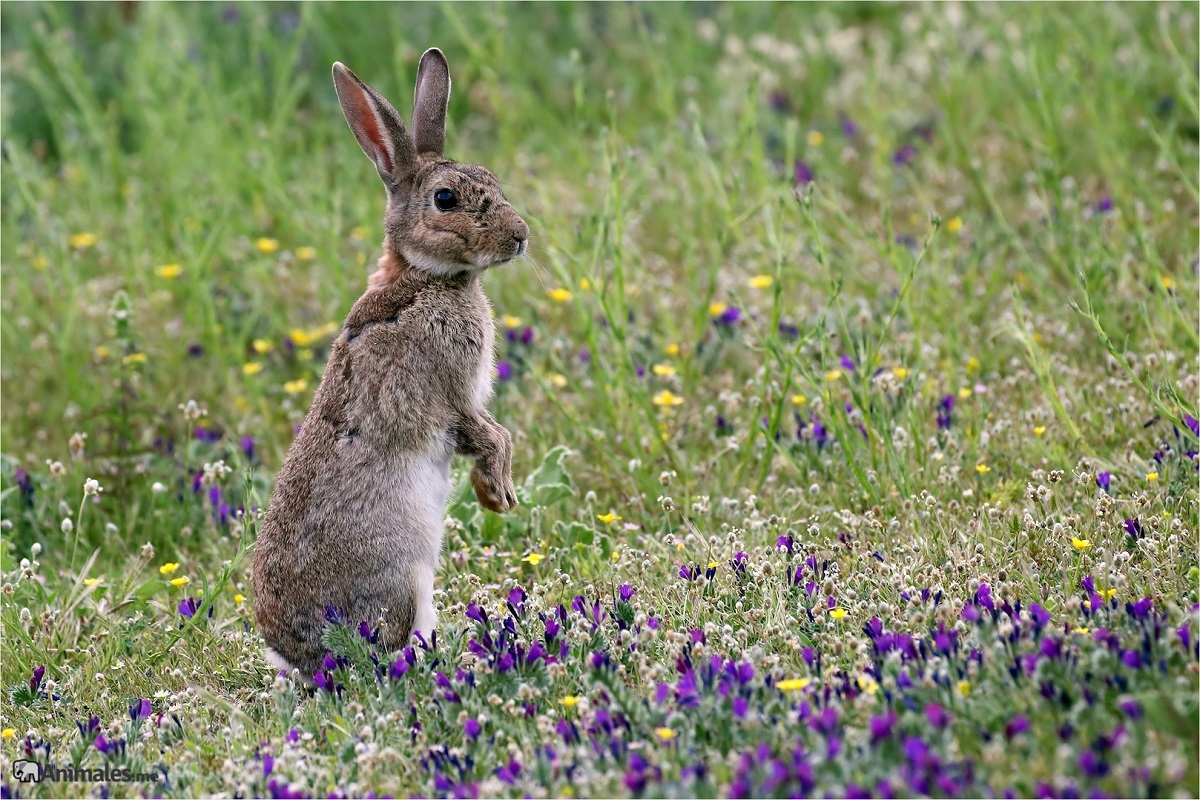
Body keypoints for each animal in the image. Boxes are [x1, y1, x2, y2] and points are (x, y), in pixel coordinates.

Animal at [251, 48, 527, 679]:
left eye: (491, 180)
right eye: (446, 199)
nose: (521, 236)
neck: (426, 278)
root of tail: (299, 655)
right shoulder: (450, 394)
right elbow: (490, 435)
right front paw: (496, 494)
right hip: (404, 581)